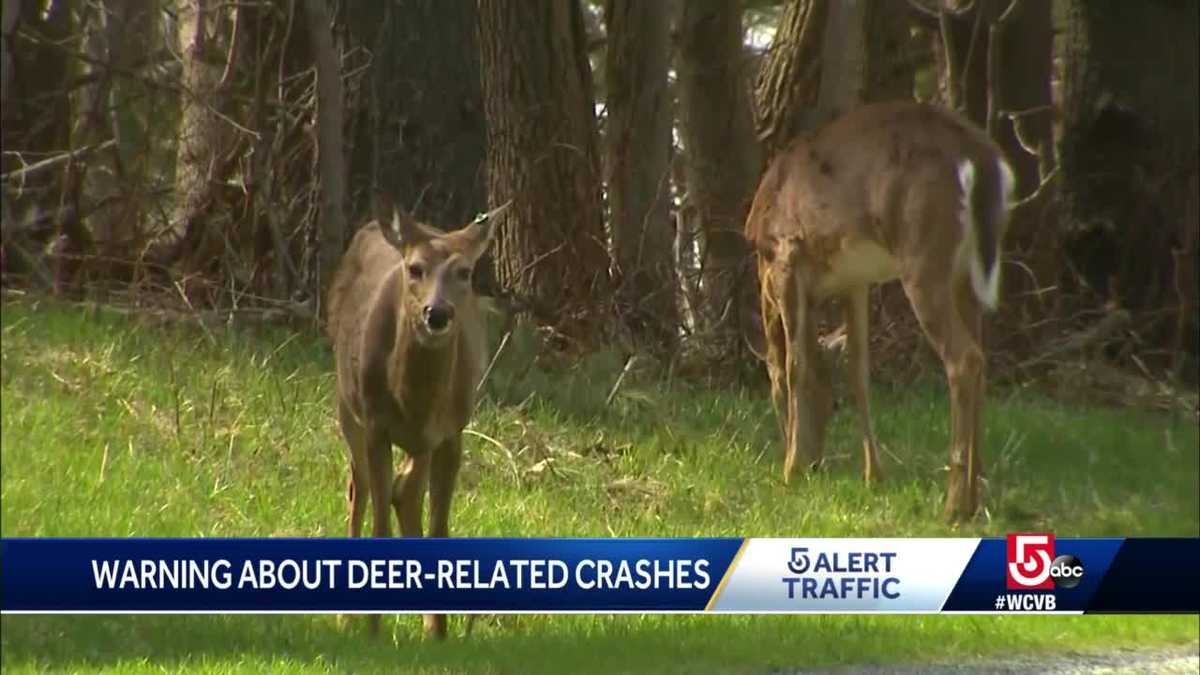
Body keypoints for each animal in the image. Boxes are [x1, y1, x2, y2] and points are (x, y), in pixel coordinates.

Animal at [326, 196, 509, 639]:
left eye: (464, 272)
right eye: (414, 268)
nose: (436, 313)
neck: (412, 398)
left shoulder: (451, 432)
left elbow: (438, 527)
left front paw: (439, 632)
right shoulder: (376, 424)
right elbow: (378, 525)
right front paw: (373, 631)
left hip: (420, 441)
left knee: (404, 492)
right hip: (346, 406)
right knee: (359, 491)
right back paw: (346, 619)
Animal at [744, 101, 1015, 521]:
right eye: (832, 404)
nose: (814, 465)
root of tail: (980, 155)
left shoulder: (788, 256)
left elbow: (794, 366)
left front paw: (789, 470)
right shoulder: (856, 281)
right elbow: (859, 372)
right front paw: (874, 475)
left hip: (922, 254)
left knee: (964, 358)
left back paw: (953, 505)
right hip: (964, 271)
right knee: (981, 357)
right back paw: (973, 496)